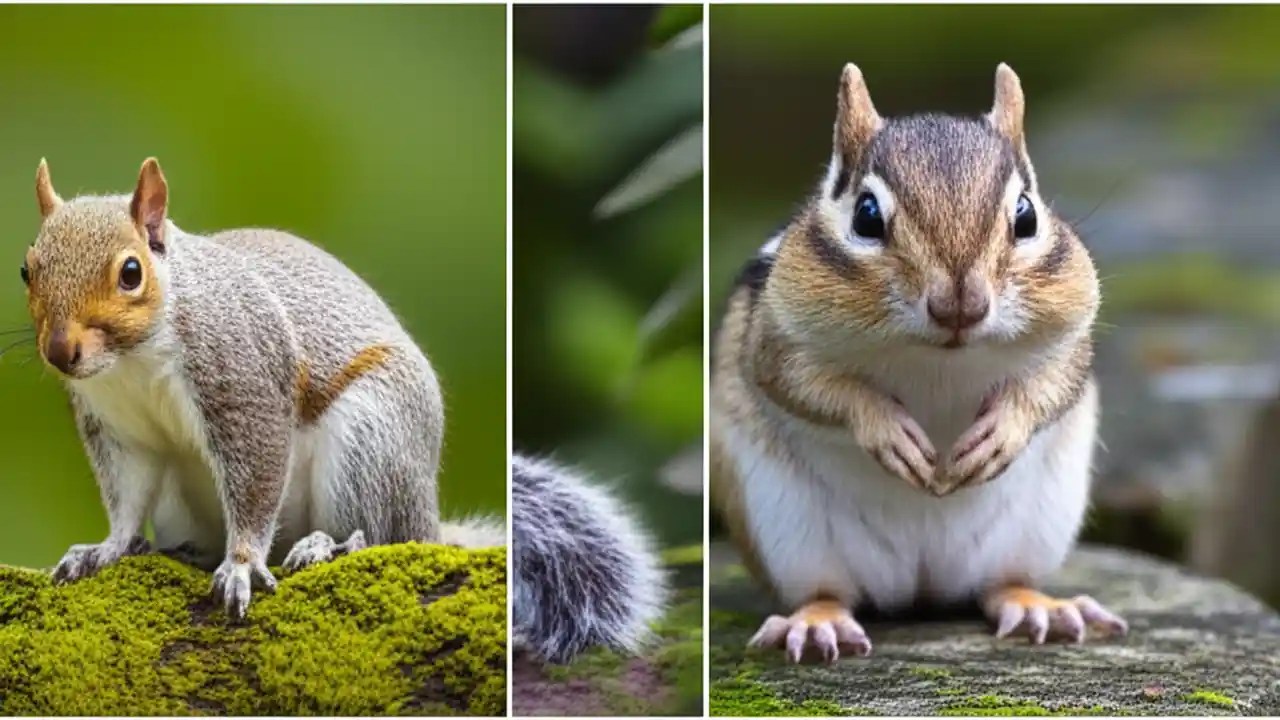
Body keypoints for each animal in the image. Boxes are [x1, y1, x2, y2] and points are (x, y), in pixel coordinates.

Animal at [22, 158, 504, 618]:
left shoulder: (242, 374)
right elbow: (126, 497)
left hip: (371, 442)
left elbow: (257, 478)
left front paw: (241, 564)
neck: (131, 361)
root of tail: (431, 520)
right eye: (27, 270)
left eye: (131, 272)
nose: (60, 351)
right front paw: (108, 548)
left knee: (386, 535)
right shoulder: (119, 429)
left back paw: (330, 545)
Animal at [710, 64, 1129, 664]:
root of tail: (922, 585)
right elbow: (805, 384)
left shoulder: (1070, 338)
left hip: (1035, 528)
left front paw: (1003, 430)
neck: (939, 360)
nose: (962, 306)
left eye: (1025, 215)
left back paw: (1040, 608)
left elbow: (1051, 383)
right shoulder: (773, 337)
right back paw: (816, 624)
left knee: (1001, 585)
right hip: (787, 532)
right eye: (866, 216)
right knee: (827, 591)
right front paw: (886, 429)